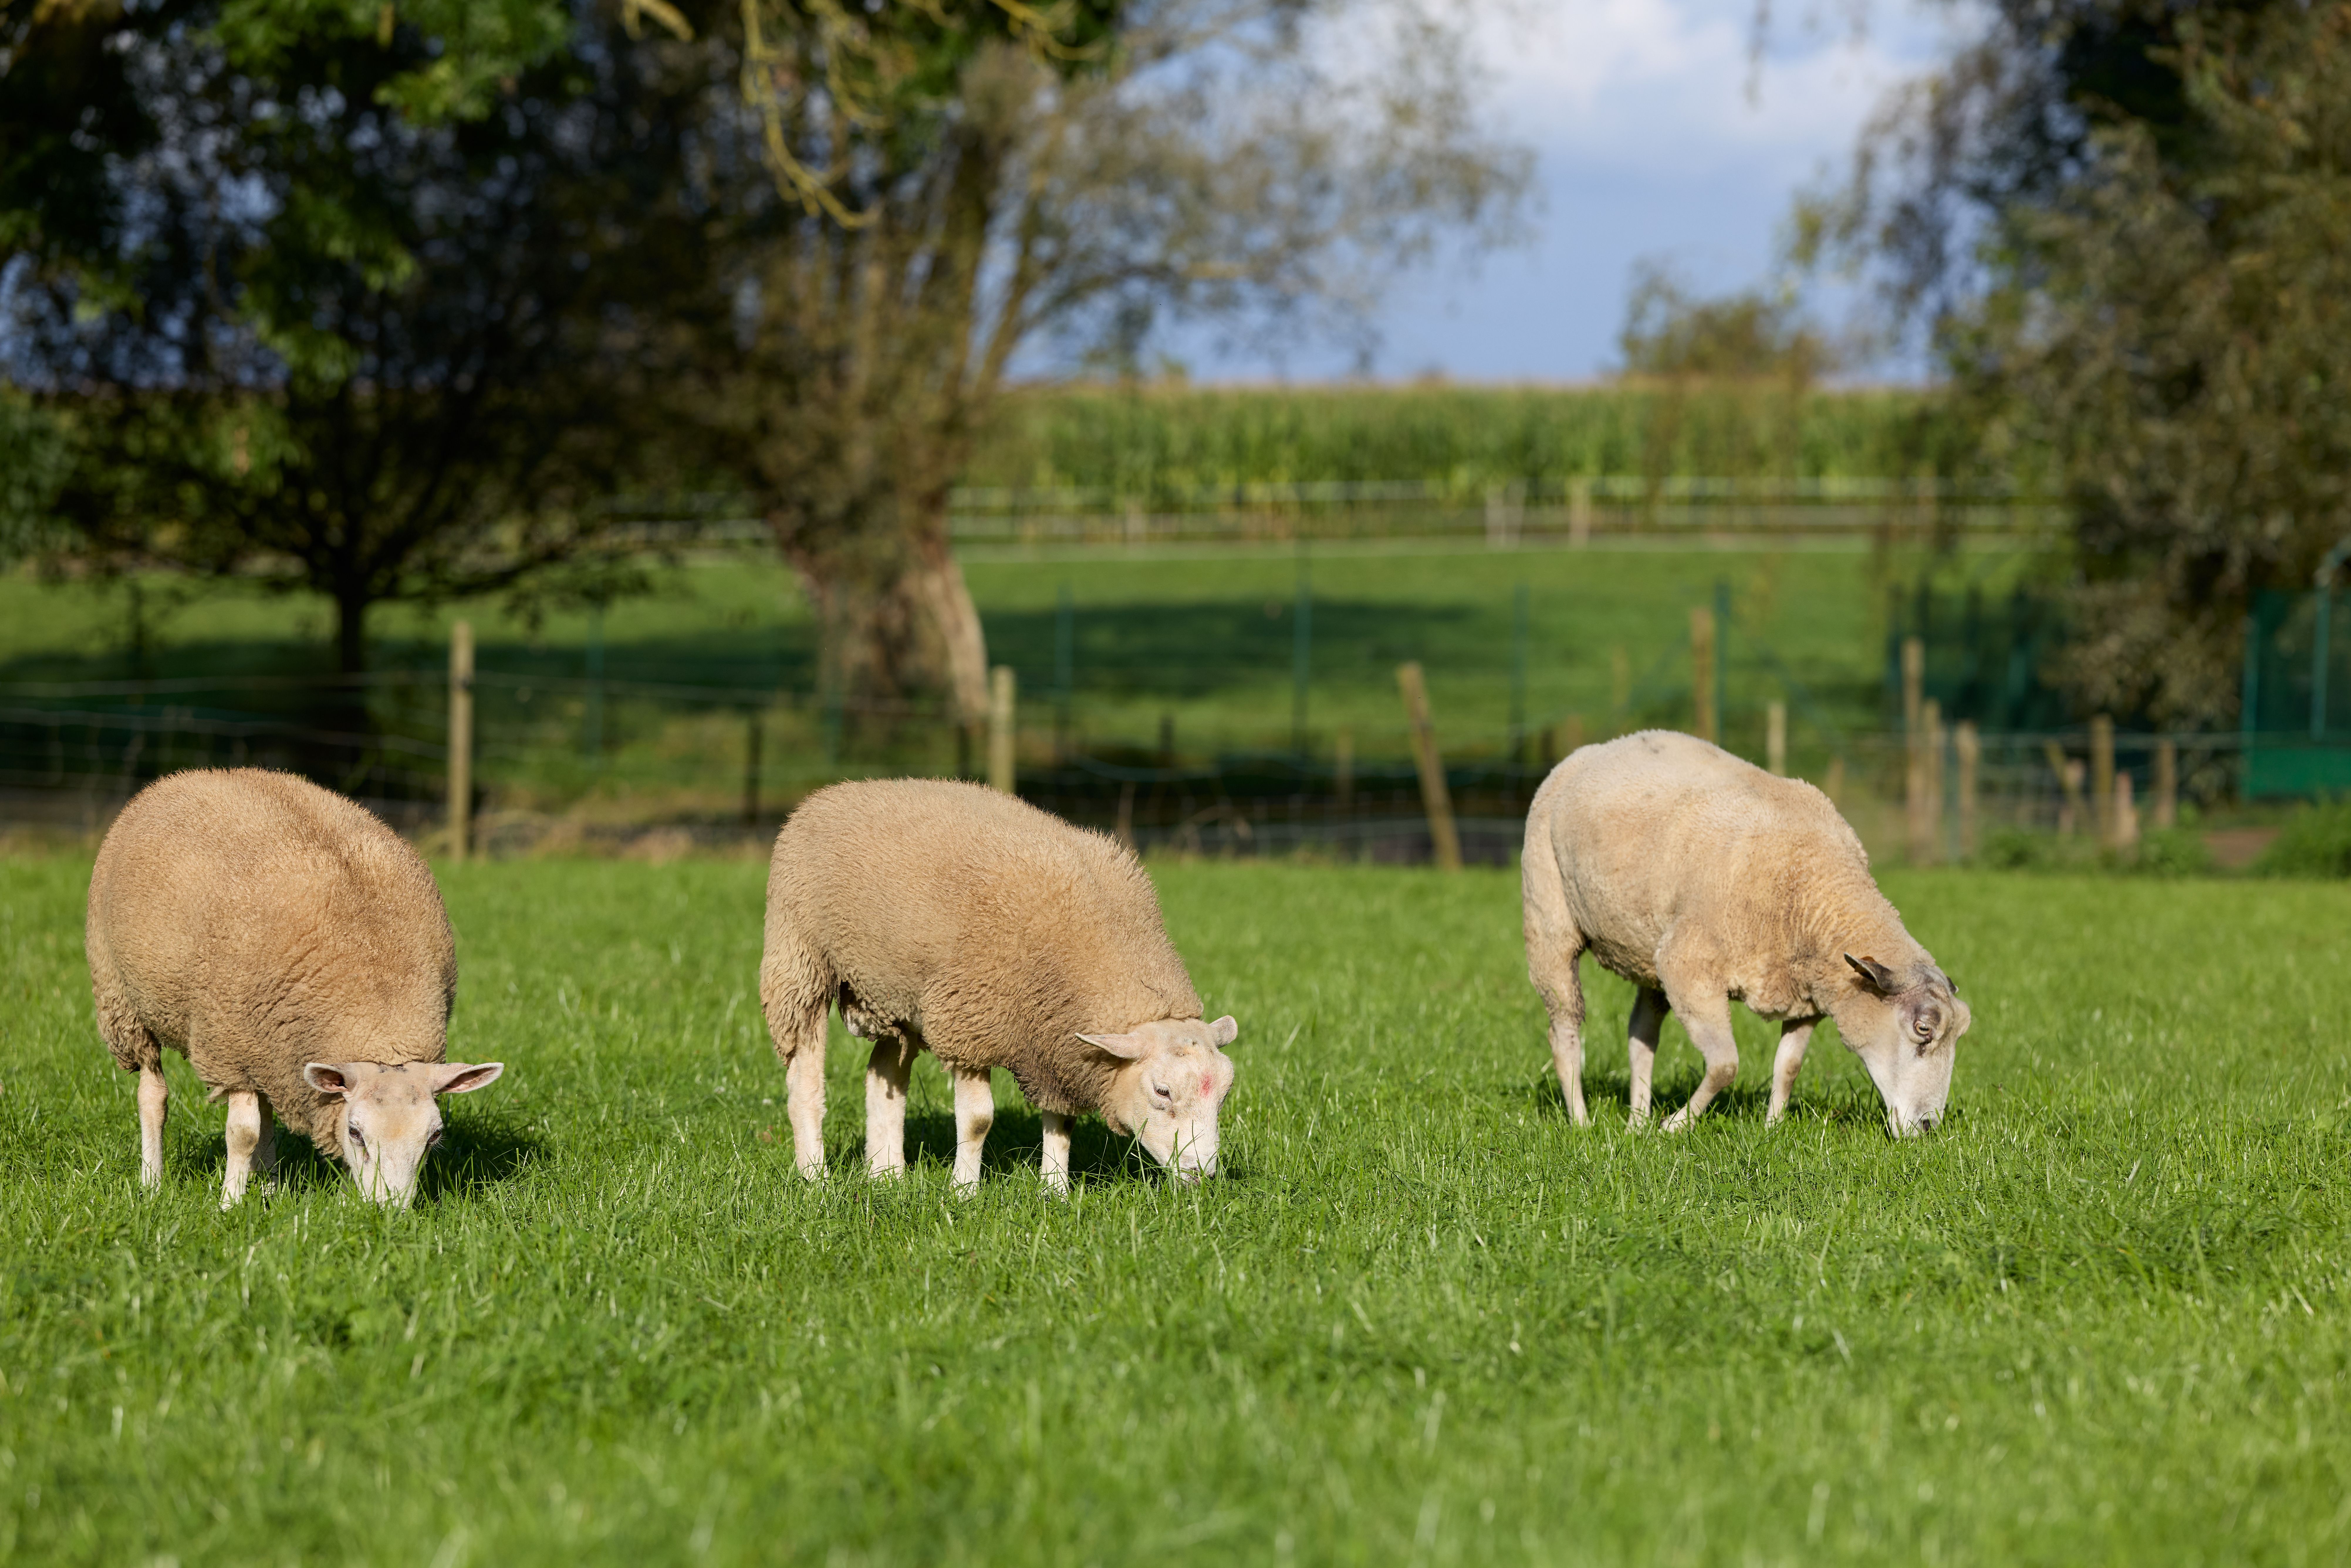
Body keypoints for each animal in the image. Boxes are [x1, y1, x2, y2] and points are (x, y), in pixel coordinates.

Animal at [86, 769, 503, 1208]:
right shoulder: (231, 1048)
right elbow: (242, 1134)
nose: (387, 1213)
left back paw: (269, 1185)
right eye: (355, 1133)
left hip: (269, 1050)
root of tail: (190, 776)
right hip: (122, 999)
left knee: (268, 1106)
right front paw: (228, 1205)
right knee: (154, 1096)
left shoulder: (266, 1043)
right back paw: (152, 1182)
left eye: (434, 1137)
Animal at [760, 778, 1237, 1191]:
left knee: (884, 1078)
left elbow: (1061, 1121)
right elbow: (977, 1121)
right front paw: (964, 1192)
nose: (1203, 1175)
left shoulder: (1052, 1043)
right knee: (804, 1084)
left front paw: (1054, 1191)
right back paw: (815, 1176)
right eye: (1162, 1092)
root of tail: (836, 792)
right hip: (800, 962)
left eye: (1224, 1096)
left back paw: (886, 1176)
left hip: (899, 995)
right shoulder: (970, 1022)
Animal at [1523, 730, 1970, 1136]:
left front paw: (1771, 1129)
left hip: (1650, 949)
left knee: (1641, 1034)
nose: (1929, 1128)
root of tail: (1599, 748)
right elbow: (1725, 1065)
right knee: (1563, 1030)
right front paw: (1675, 1126)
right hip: (1548, 919)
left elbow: (1789, 1066)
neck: (1812, 888)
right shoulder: (1689, 967)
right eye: (1923, 1030)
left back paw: (1636, 1122)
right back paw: (1582, 1122)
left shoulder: (1805, 998)